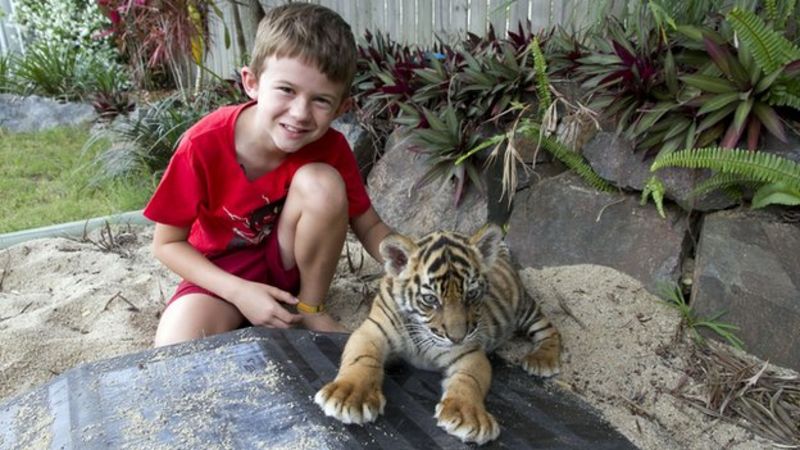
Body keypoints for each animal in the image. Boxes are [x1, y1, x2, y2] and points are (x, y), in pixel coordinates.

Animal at [314, 224, 561, 445]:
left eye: (471, 294)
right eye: (430, 299)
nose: (457, 337)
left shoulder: (469, 353)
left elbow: (469, 380)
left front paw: (468, 416)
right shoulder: (372, 331)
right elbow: (362, 359)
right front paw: (349, 397)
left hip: (525, 308)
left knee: (550, 330)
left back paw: (542, 360)